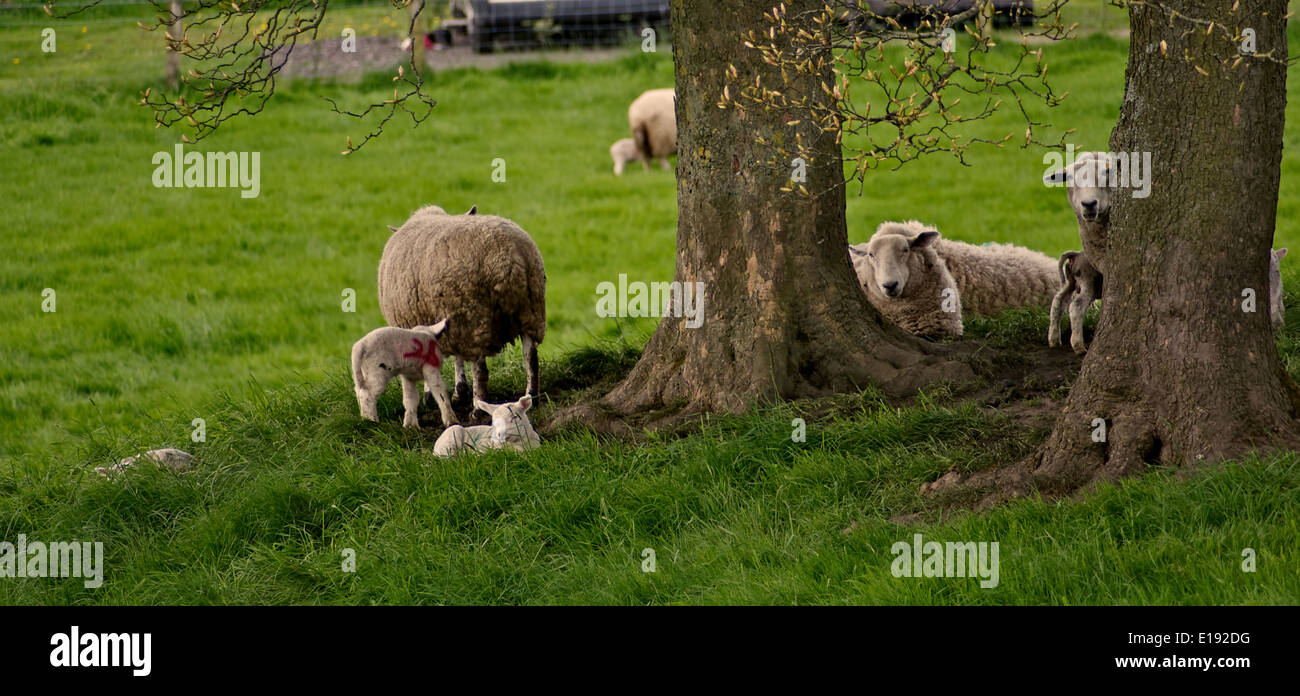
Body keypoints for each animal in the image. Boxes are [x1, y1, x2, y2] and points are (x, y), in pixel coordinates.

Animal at [378, 204, 546, 407]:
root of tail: (506, 255)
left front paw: (431, 395)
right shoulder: (449, 321)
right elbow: (456, 358)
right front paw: (459, 391)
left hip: (474, 318)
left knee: (480, 370)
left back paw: (479, 406)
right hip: (530, 311)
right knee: (531, 357)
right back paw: (532, 396)